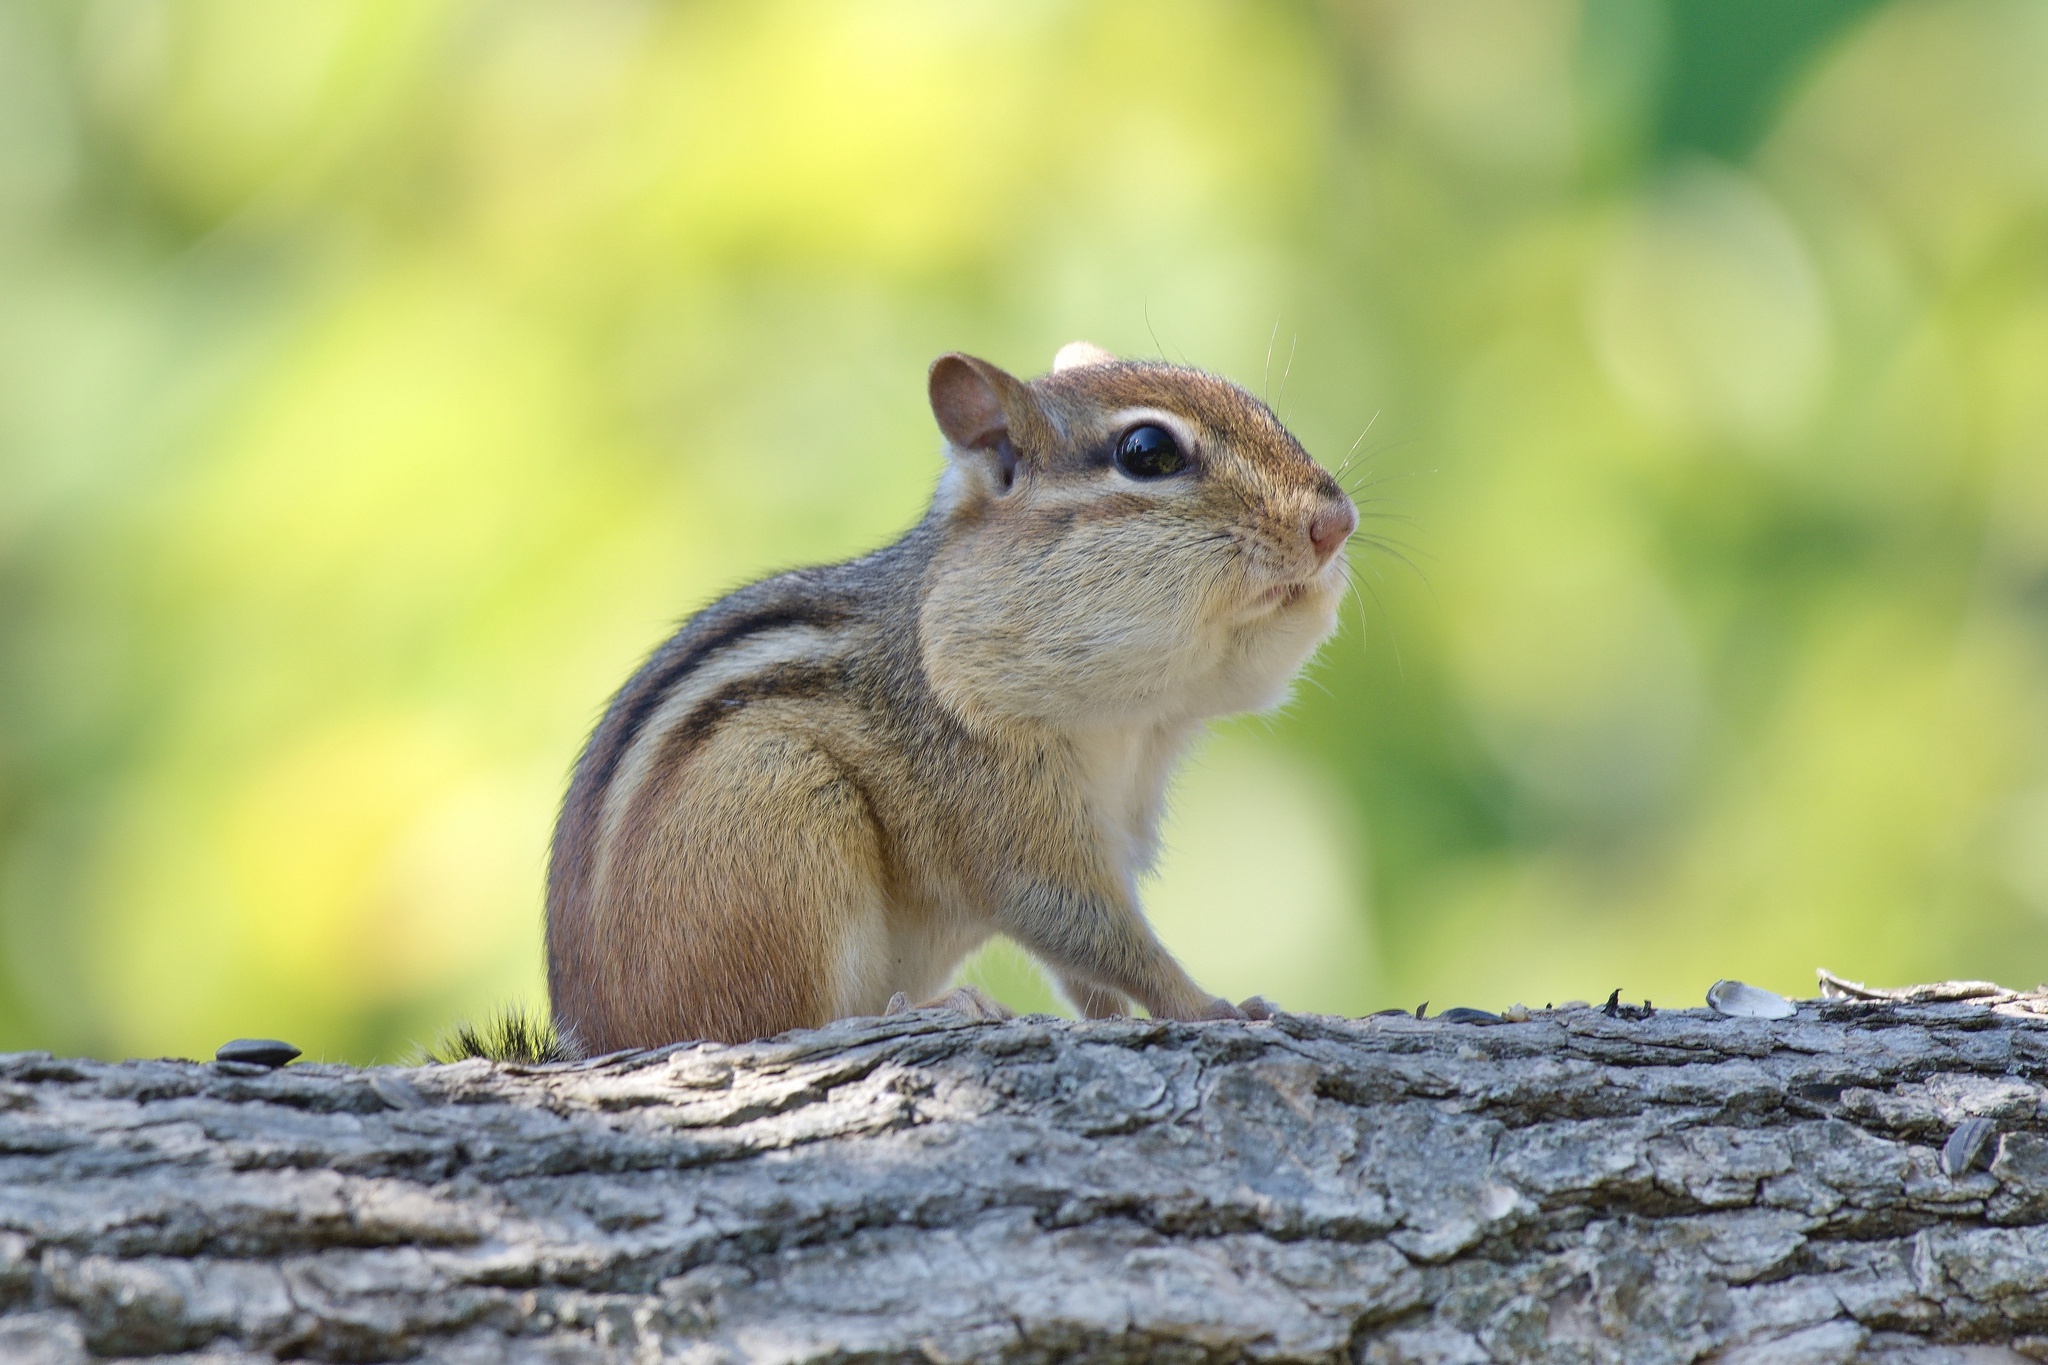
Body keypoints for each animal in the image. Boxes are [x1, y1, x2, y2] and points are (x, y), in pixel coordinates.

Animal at [512, 342, 1357, 1058]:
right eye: (1148, 452)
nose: (1336, 522)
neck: (1131, 723)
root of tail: (595, 1036)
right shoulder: (1002, 805)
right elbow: (1089, 928)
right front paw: (1211, 1005)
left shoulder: (1116, 818)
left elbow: (1087, 968)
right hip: (776, 810)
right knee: (781, 1023)